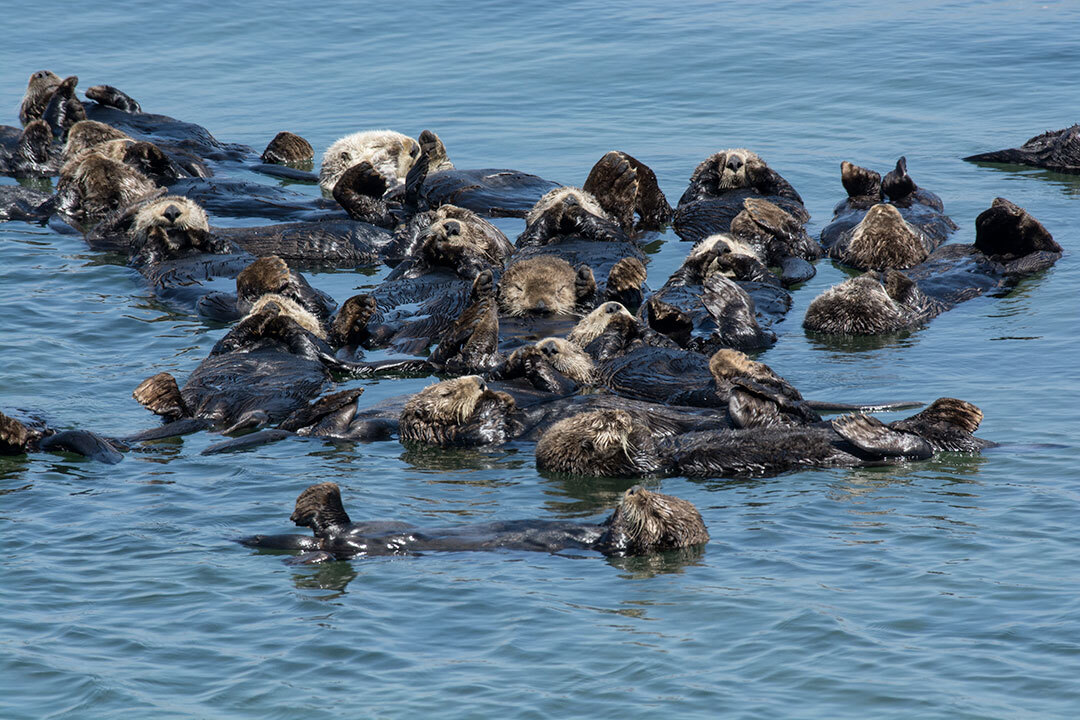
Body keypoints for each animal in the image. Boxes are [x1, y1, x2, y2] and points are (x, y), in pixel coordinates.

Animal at [805, 198, 1060, 335]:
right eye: (871, 291)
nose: (874, 277)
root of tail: (997, 256)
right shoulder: (916, 312)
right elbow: (914, 296)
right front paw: (898, 279)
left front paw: (888, 275)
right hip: (1029, 262)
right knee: (1046, 244)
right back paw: (1014, 214)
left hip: (961, 247)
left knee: (985, 233)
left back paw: (1000, 208)